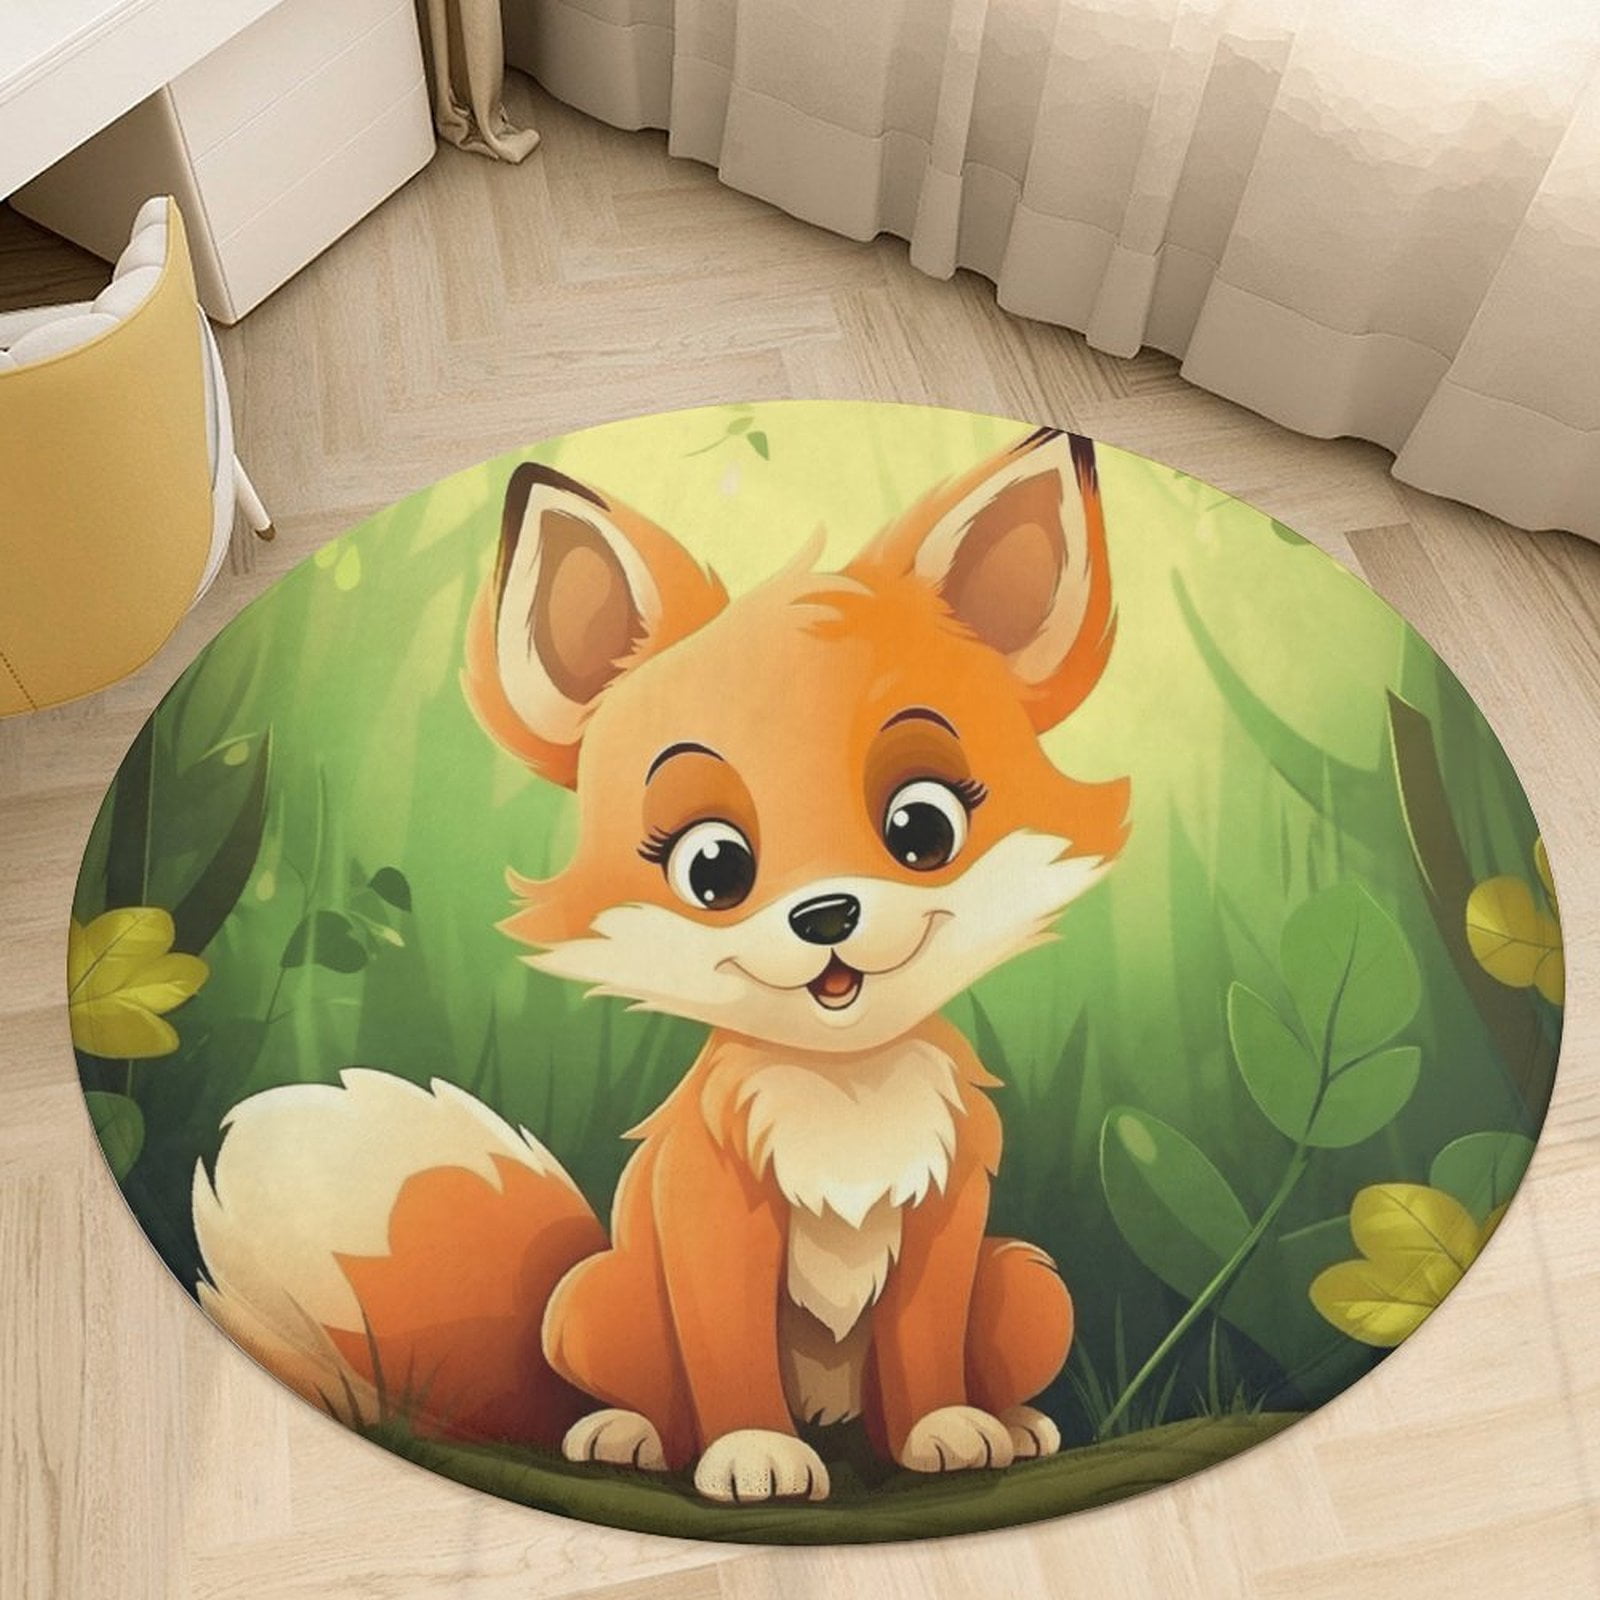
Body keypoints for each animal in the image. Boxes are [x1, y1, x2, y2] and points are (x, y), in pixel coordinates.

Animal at [191, 425, 1130, 1504]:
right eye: (712, 867)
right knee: (654, 1407)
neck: (843, 1088)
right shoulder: (709, 1217)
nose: (827, 912)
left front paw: (946, 1429)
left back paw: (1007, 1425)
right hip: (593, 1300)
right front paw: (755, 1454)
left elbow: (925, 1346)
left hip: (1032, 1282)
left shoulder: (948, 1212)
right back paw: (628, 1439)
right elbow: (724, 1353)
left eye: (922, 829)